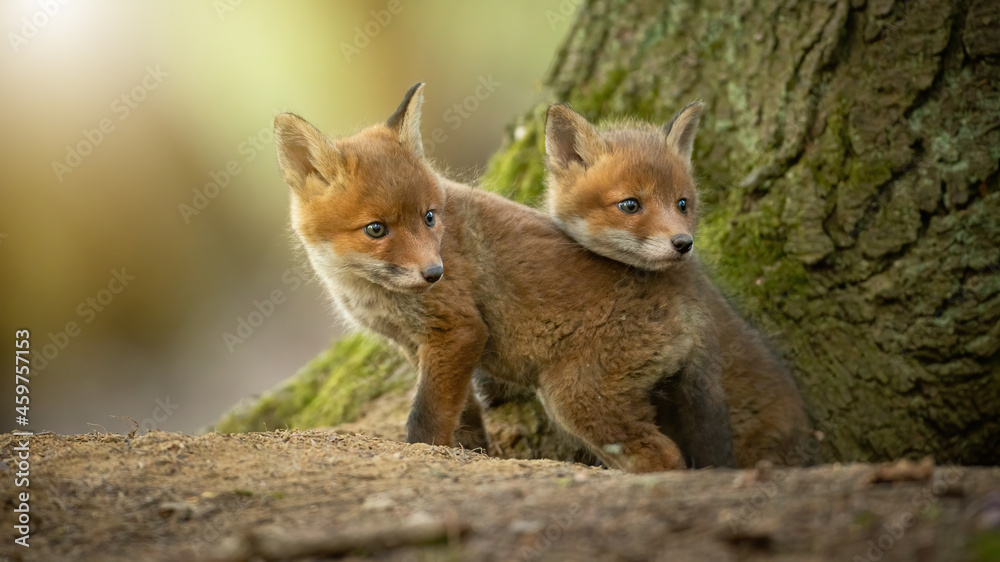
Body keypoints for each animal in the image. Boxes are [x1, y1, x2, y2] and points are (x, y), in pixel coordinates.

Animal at [274, 83, 736, 472]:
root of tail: (683, 288)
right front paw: (472, 450)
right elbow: (462, 415)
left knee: (665, 454)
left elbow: (426, 418)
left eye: (429, 217)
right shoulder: (418, 345)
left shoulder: (459, 330)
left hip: (576, 396)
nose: (435, 273)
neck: (368, 289)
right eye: (376, 229)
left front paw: (427, 451)